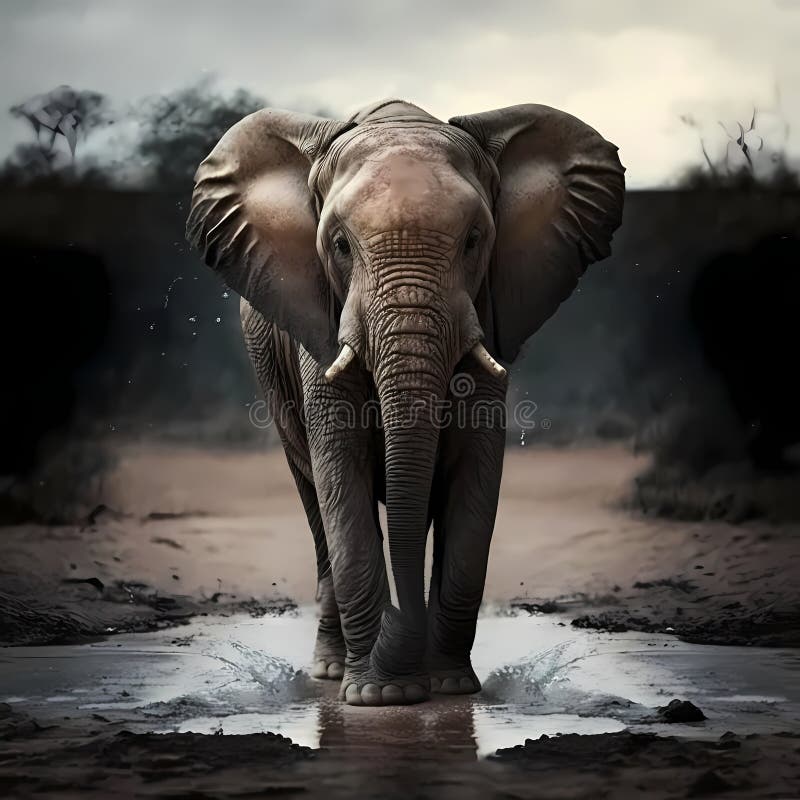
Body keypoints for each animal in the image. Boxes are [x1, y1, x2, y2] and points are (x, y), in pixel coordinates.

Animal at [187, 99, 624, 706]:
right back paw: (332, 669)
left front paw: (449, 687)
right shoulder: (320, 322)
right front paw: (379, 697)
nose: (400, 636)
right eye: (339, 245)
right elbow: (341, 480)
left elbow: (473, 482)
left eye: (473, 240)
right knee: (316, 503)